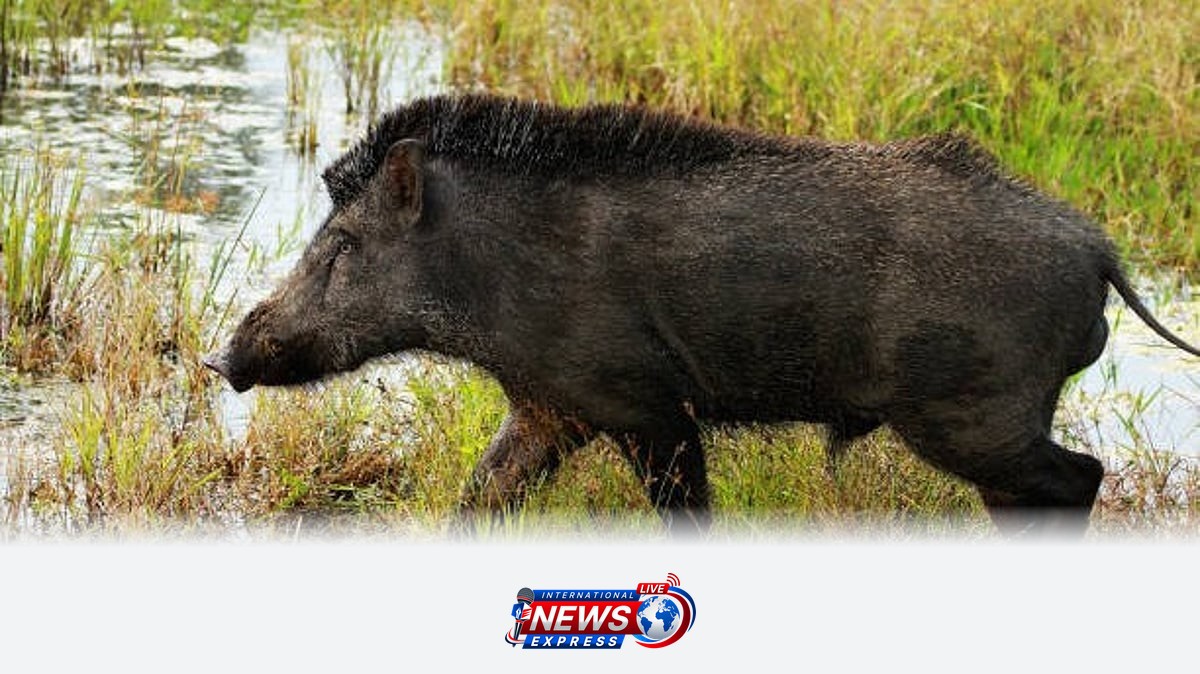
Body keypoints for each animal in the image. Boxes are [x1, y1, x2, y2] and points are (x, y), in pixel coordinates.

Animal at [204, 94, 1200, 536]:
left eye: (341, 246)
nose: (222, 359)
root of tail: (1100, 252)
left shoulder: (649, 409)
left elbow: (686, 509)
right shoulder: (548, 408)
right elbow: (478, 499)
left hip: (973, 414)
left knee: (1080, 477)